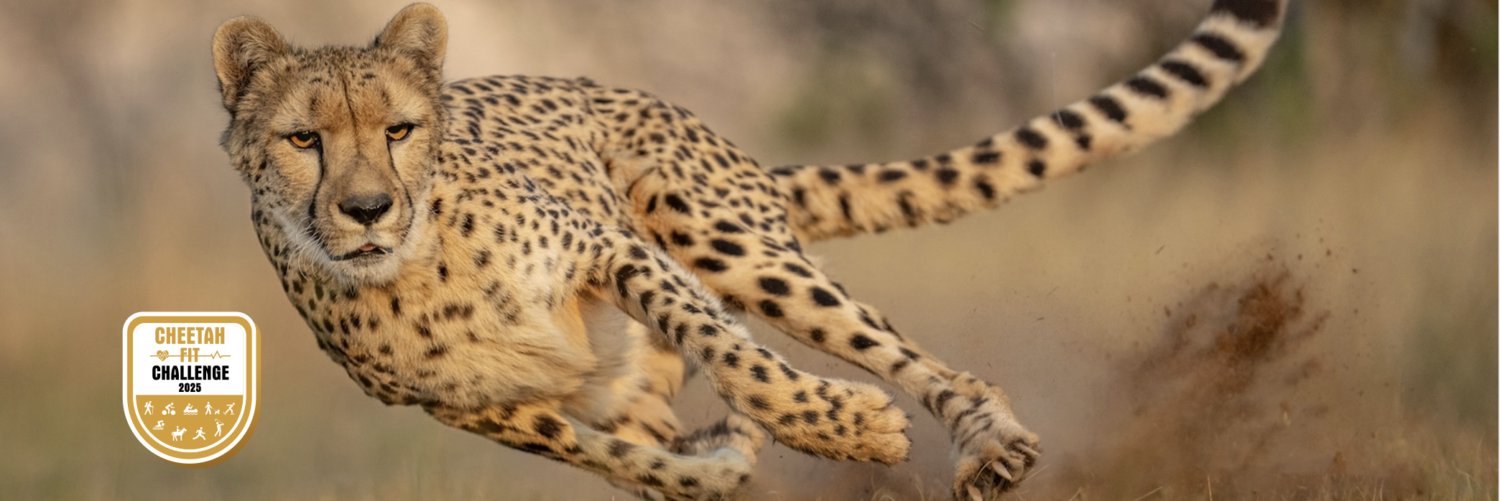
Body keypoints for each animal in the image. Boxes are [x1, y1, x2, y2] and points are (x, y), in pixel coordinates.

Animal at [210, 1, 1288, 499]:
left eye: (397, 129)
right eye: (304, 139)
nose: (365, 208)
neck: (412, 269)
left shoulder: (614, 248)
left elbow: (744, 360)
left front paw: (850, 429)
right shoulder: (485, 410)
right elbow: (639, 458)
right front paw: (725, 461)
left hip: (711, 226)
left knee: (907, 357)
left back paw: (984, 441)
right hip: (632, 354)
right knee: (647, 422)